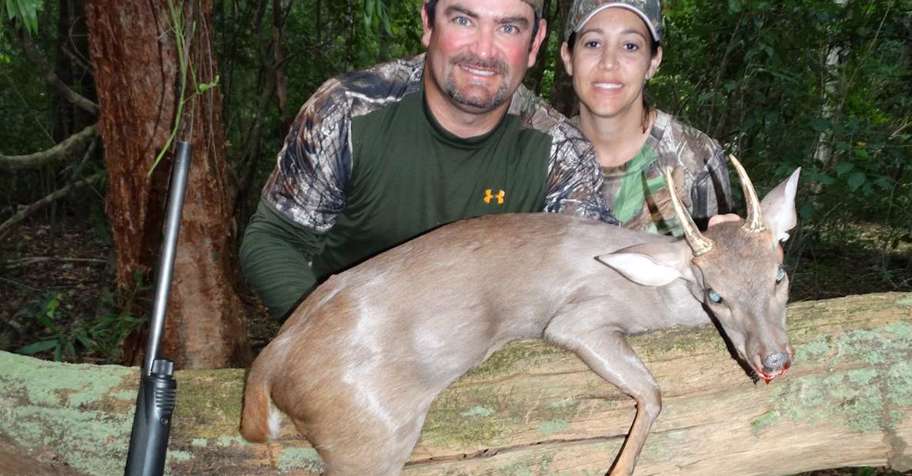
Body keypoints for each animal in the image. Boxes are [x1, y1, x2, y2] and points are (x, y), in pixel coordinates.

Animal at [240, 157, 801, 476]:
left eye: (779, 273)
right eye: (715, 295)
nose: (774, 360)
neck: (657, 291)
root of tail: (270, 364)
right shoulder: (579, 317)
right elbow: (653, 395)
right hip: (364, 438)